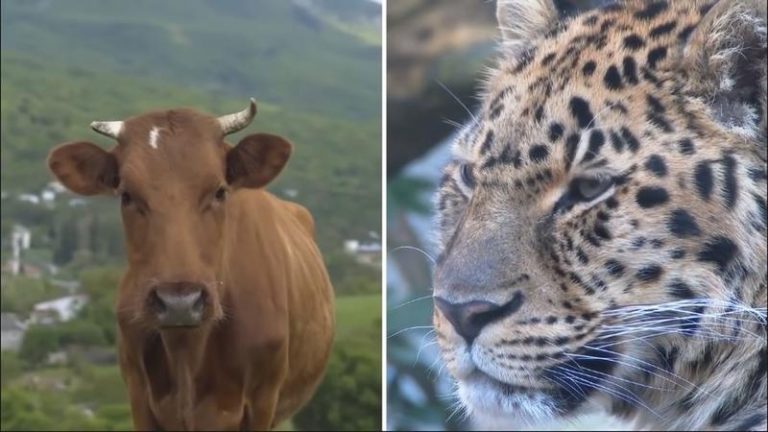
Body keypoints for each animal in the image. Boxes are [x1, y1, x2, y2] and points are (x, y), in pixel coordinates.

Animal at [47, 100, 335, 431]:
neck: (188, 351)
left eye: (220, 191)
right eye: (127, 195)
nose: (179, 302)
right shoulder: (139, 396)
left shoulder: (262, 401)